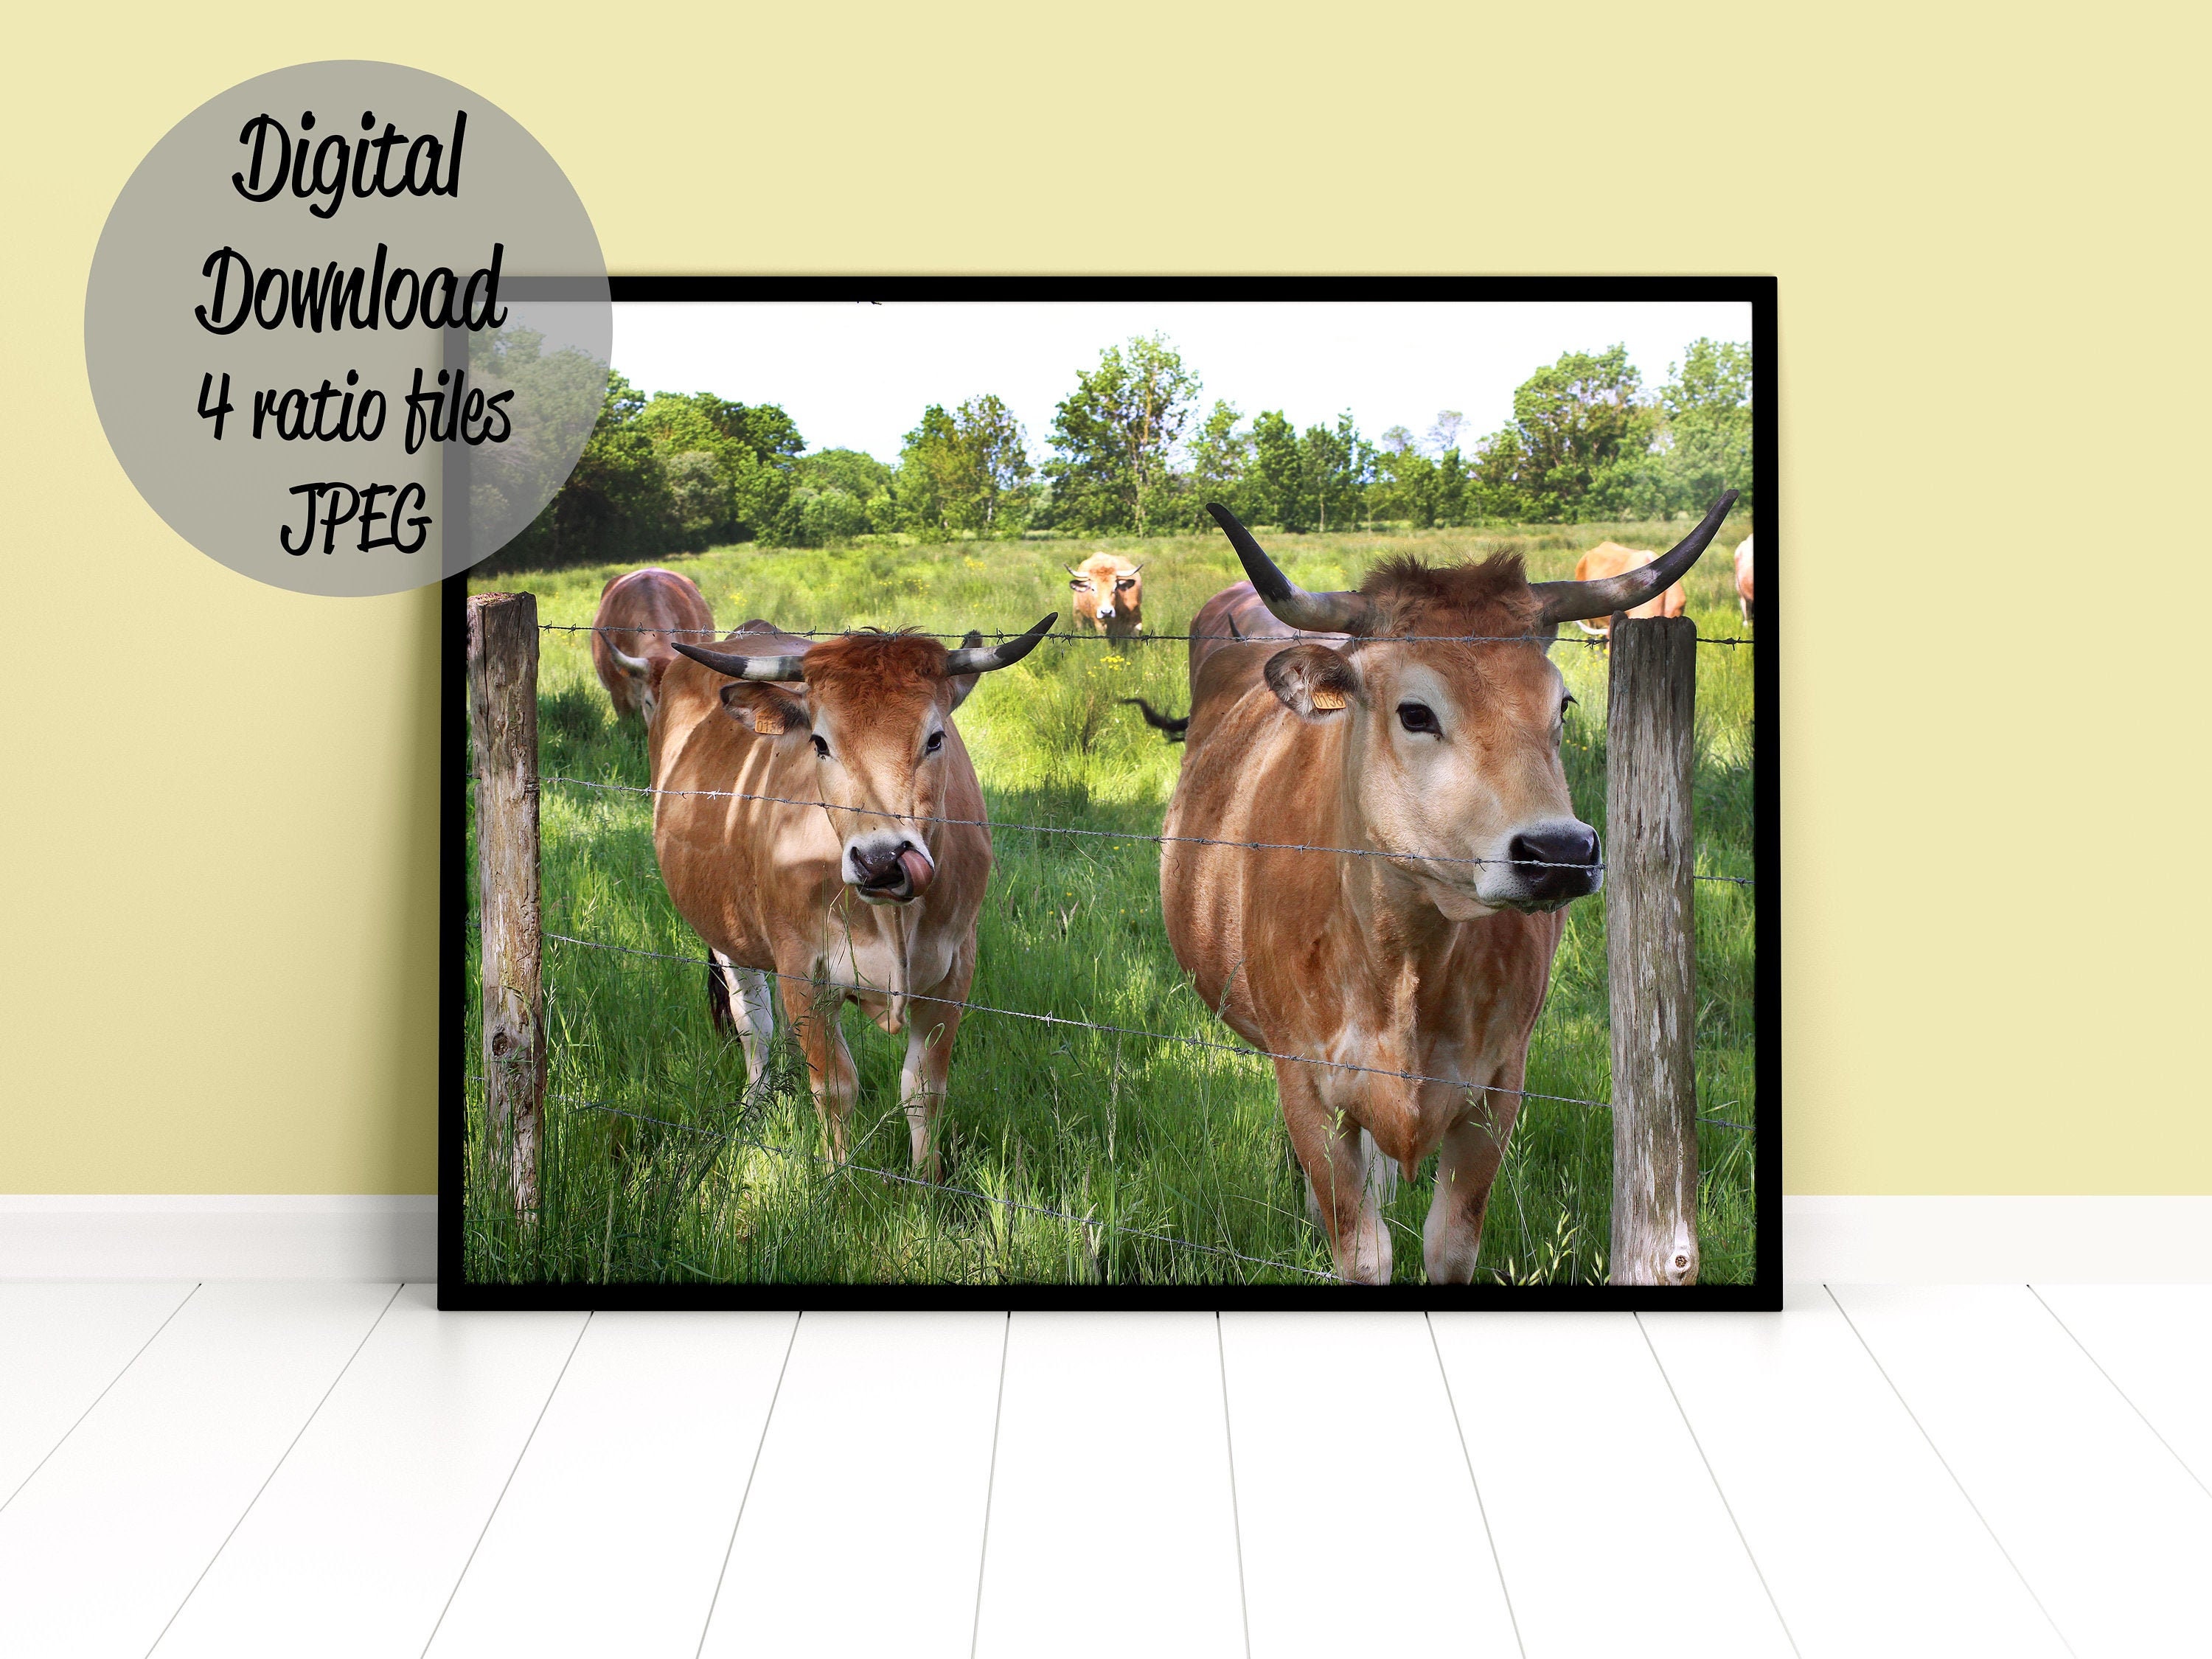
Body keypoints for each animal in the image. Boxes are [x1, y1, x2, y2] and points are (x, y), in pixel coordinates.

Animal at [649, 614, 1054, 1180]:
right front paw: (838, 1183)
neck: (894, 924)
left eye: (935, 738)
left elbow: (923, 1092)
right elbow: (836, 1089)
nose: (881, 860)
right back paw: (753, 1109)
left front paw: (925, 1187)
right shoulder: (805, 972)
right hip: (727, 933)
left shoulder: (953, 974)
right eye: (820, 743)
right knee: (753, 1023)